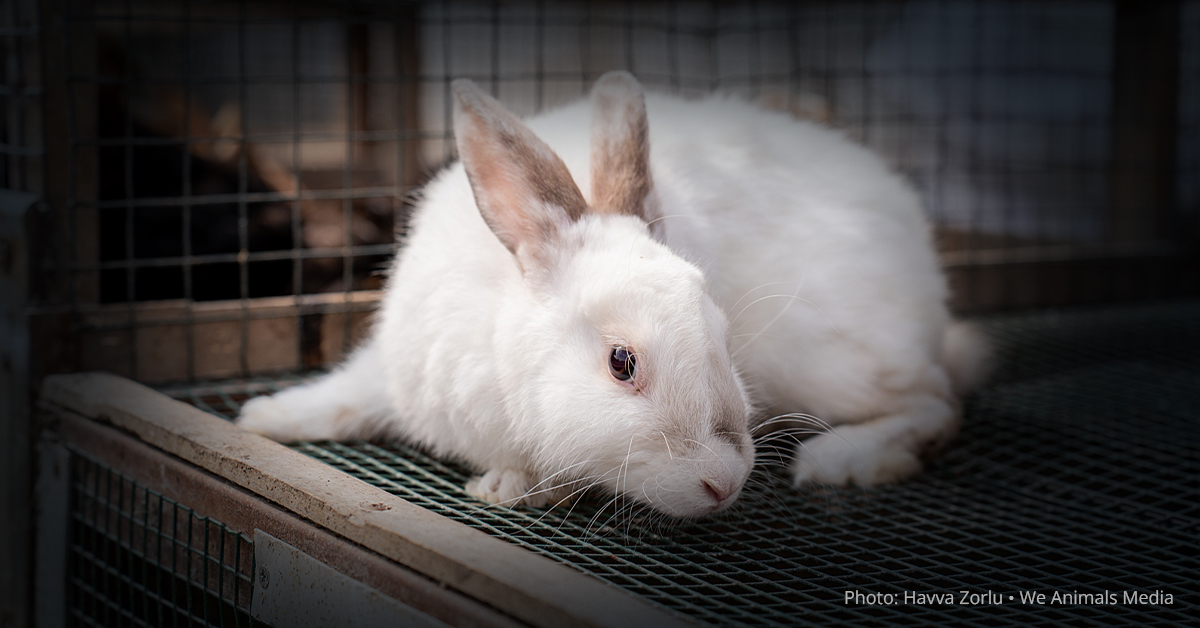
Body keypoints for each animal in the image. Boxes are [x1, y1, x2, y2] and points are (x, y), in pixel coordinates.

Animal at [237, 71, 991, 519]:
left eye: (724, 335)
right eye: (621, 362)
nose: (725, 482)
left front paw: (506, 487)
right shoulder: (399, 372)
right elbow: (344, 397)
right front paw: (264, 417)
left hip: (831, 364)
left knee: (938, 401)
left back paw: (842, 459)